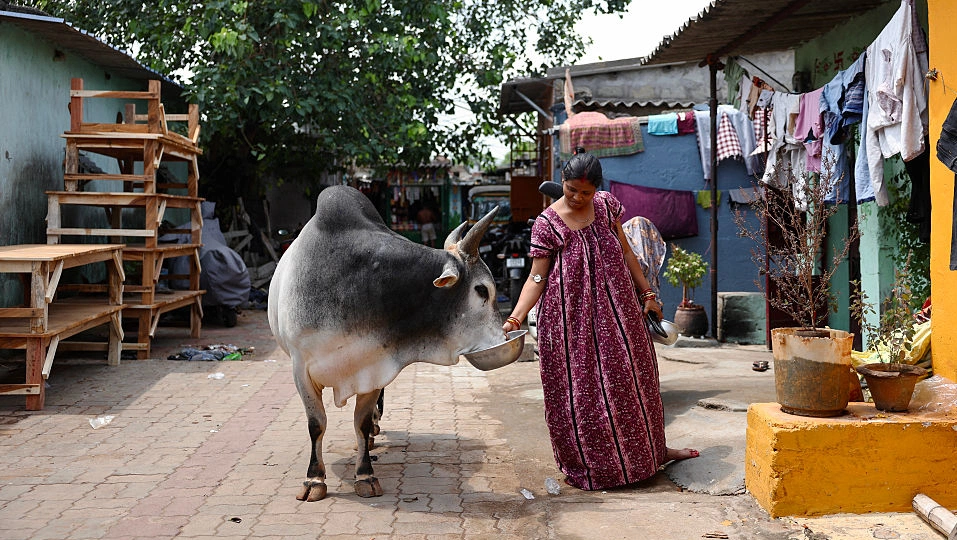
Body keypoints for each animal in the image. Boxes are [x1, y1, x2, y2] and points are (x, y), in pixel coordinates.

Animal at [268, 185, 506, 502]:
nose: (504, 338)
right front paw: (314, 479)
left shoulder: (375, 364)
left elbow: (362, 421)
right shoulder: (300, 368)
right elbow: (316, 424)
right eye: (482, 290)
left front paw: (365, 474)